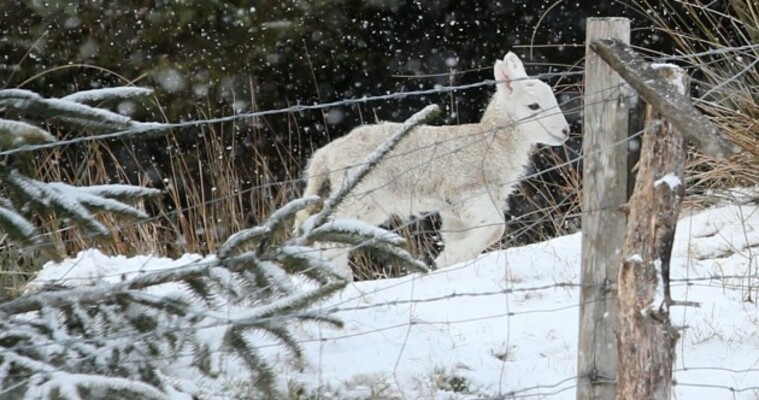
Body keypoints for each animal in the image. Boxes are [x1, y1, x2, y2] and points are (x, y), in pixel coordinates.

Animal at [295, 52, 570, 280]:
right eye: (533, 106)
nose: (565, 132)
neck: (490, 143)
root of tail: (326, 154)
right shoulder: (468, 190)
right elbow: (495, 228)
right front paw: (450, 258)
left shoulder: (455, 209)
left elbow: (462, 234)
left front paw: (451, 262)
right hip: (360, 196)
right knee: (329, 237)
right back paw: (338, 280)